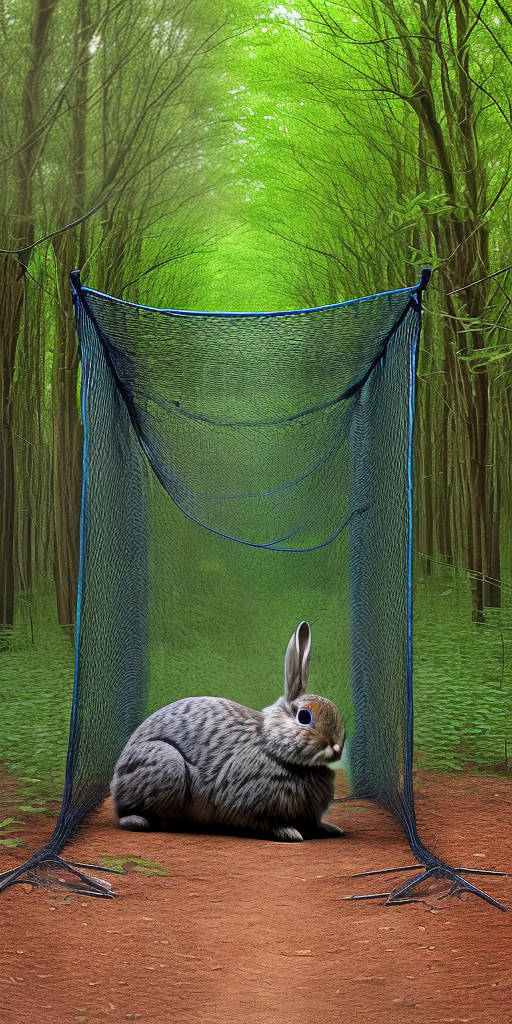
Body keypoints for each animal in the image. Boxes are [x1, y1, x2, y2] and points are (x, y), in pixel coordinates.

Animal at [110, 621, 346, 841]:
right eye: (304, 717)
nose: (336, 747)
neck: (272, 745)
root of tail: (116, 778)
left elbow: (313, 824)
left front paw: (331, 829)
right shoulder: (247, 802)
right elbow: (266, 823)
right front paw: (290, 833)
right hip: (166, 766)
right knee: (129, 815)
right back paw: (158, 822)